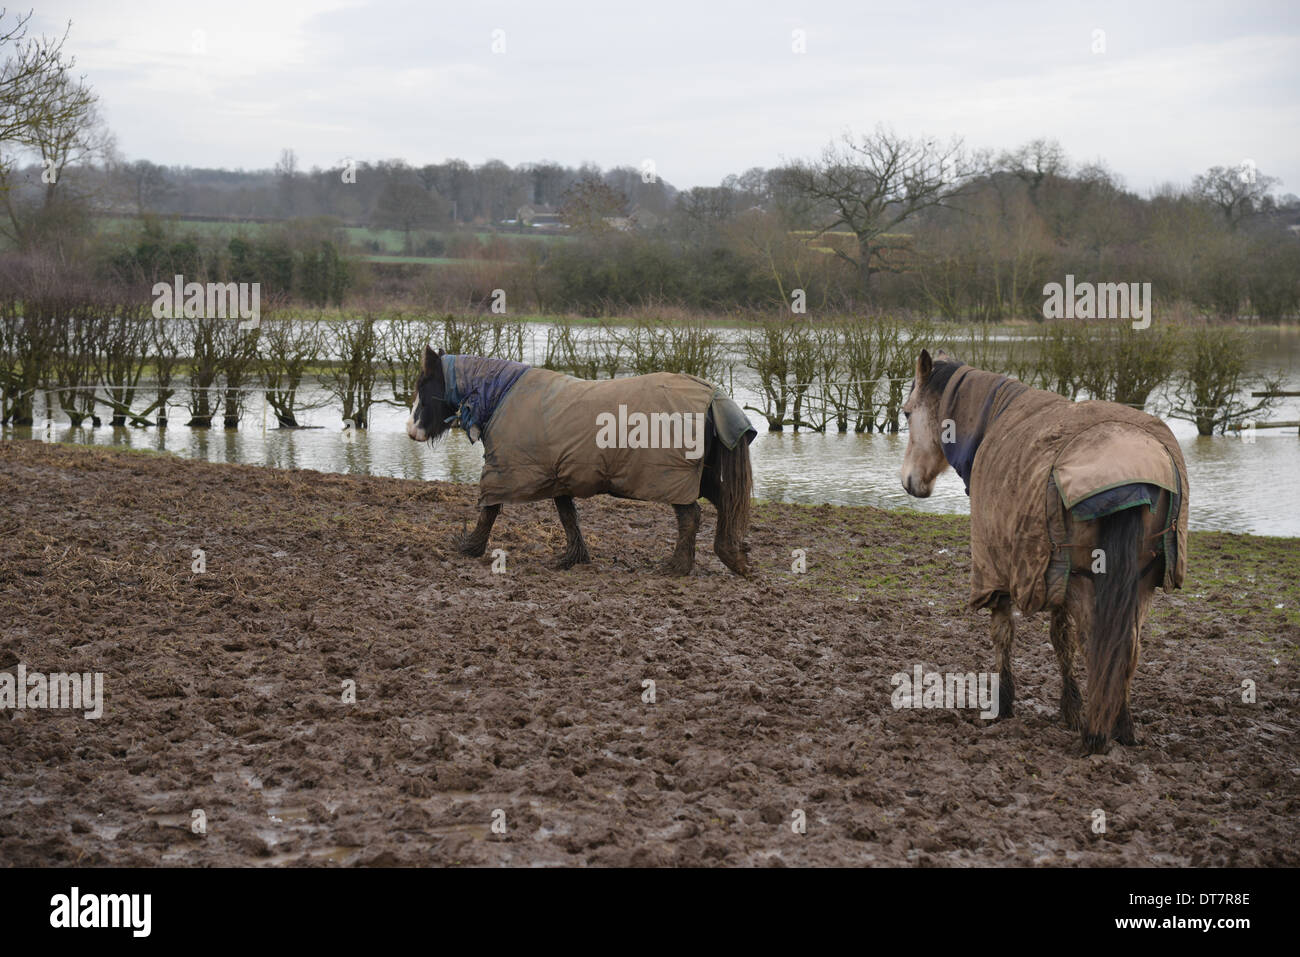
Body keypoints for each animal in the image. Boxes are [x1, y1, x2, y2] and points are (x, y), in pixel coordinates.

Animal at [406, 346, 756, 576]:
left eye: (424, 384)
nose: (411, 430)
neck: (501, 396)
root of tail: (711, 395)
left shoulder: (503, 471)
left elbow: (489, 512)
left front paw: (468, 547)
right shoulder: (559, 472)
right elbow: (568, 517)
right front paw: (572, 558)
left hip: (676, 478)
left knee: (691, 517)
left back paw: (678, 567)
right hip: (699, 475)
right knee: (725, 502)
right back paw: (732, 557)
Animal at [900, 349, 1189, 754]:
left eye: (907, 413)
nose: (909, 481)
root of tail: (1132, 473)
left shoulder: (998, 571)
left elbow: (1003, 633)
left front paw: (1003, 705)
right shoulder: (1055, 576)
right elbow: (1060, 639)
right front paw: (1070, 708)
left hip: (1089, 581)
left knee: (1100, 647)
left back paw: (1096, 737)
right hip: (1141, 584)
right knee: (1127, 649)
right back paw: (1124, 728)